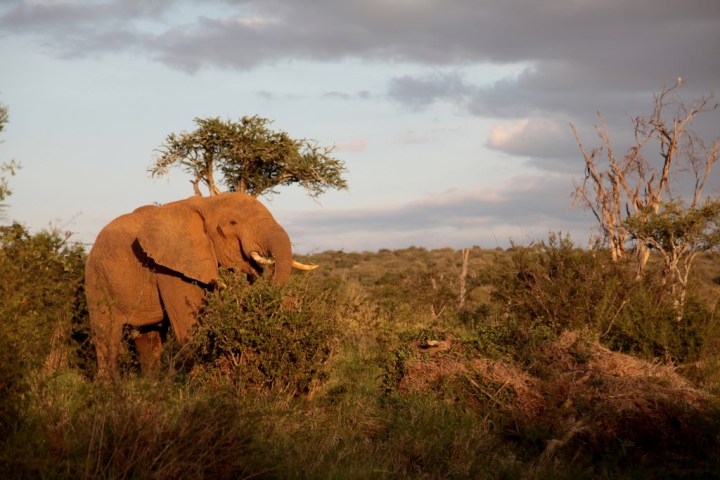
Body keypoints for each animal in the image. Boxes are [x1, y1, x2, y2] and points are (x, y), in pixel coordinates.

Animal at [85, 192, 316, 377]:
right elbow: (188, 324)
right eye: (233, 223)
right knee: (107, 336)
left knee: (148, 339)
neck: (207, 202)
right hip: (97, 278)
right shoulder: (168, 267)